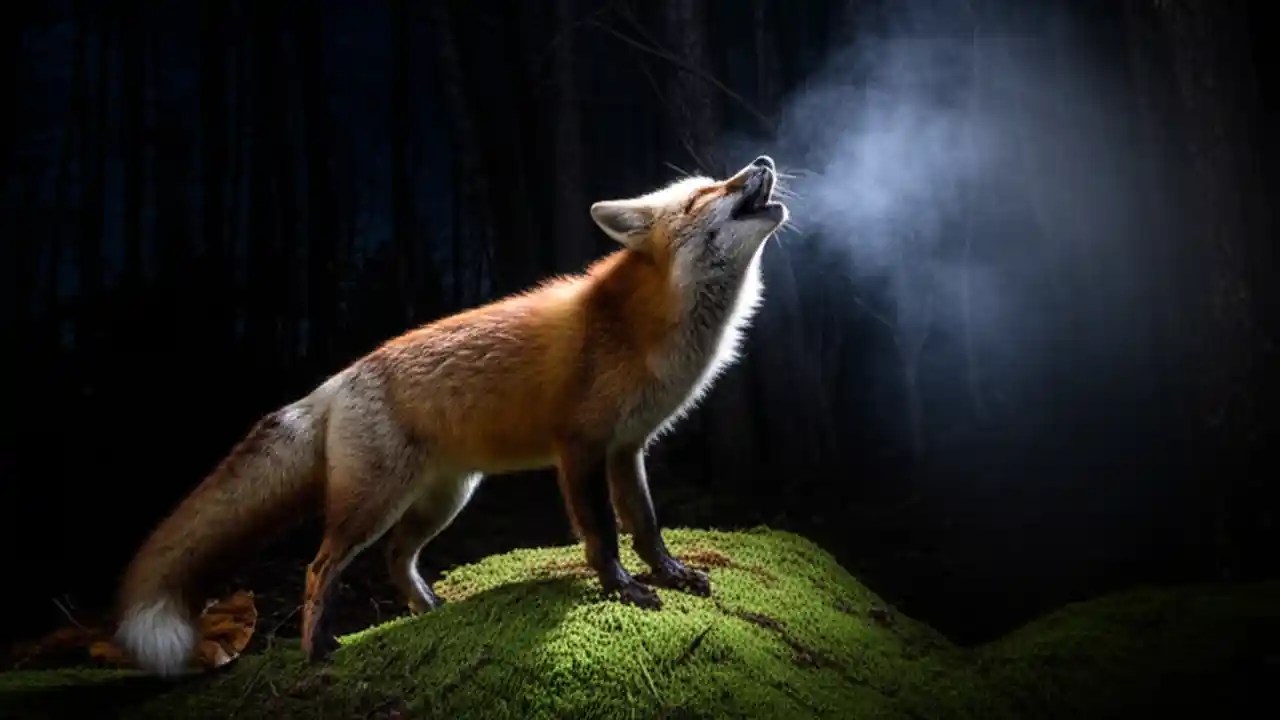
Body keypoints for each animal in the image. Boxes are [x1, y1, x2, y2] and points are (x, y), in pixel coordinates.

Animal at [114, 155, 789, 677]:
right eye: (708, 192)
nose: (761, 161)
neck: (643, 327)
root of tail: (333, 383)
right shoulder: (580, 447)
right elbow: (602, 534)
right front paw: (622, 589)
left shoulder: (627, 447)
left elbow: (646, 526)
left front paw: (672, 574)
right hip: (373, 504)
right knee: (318, 567)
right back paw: (317, 648)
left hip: (445, 499)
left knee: (395, 559)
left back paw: (427, 611)